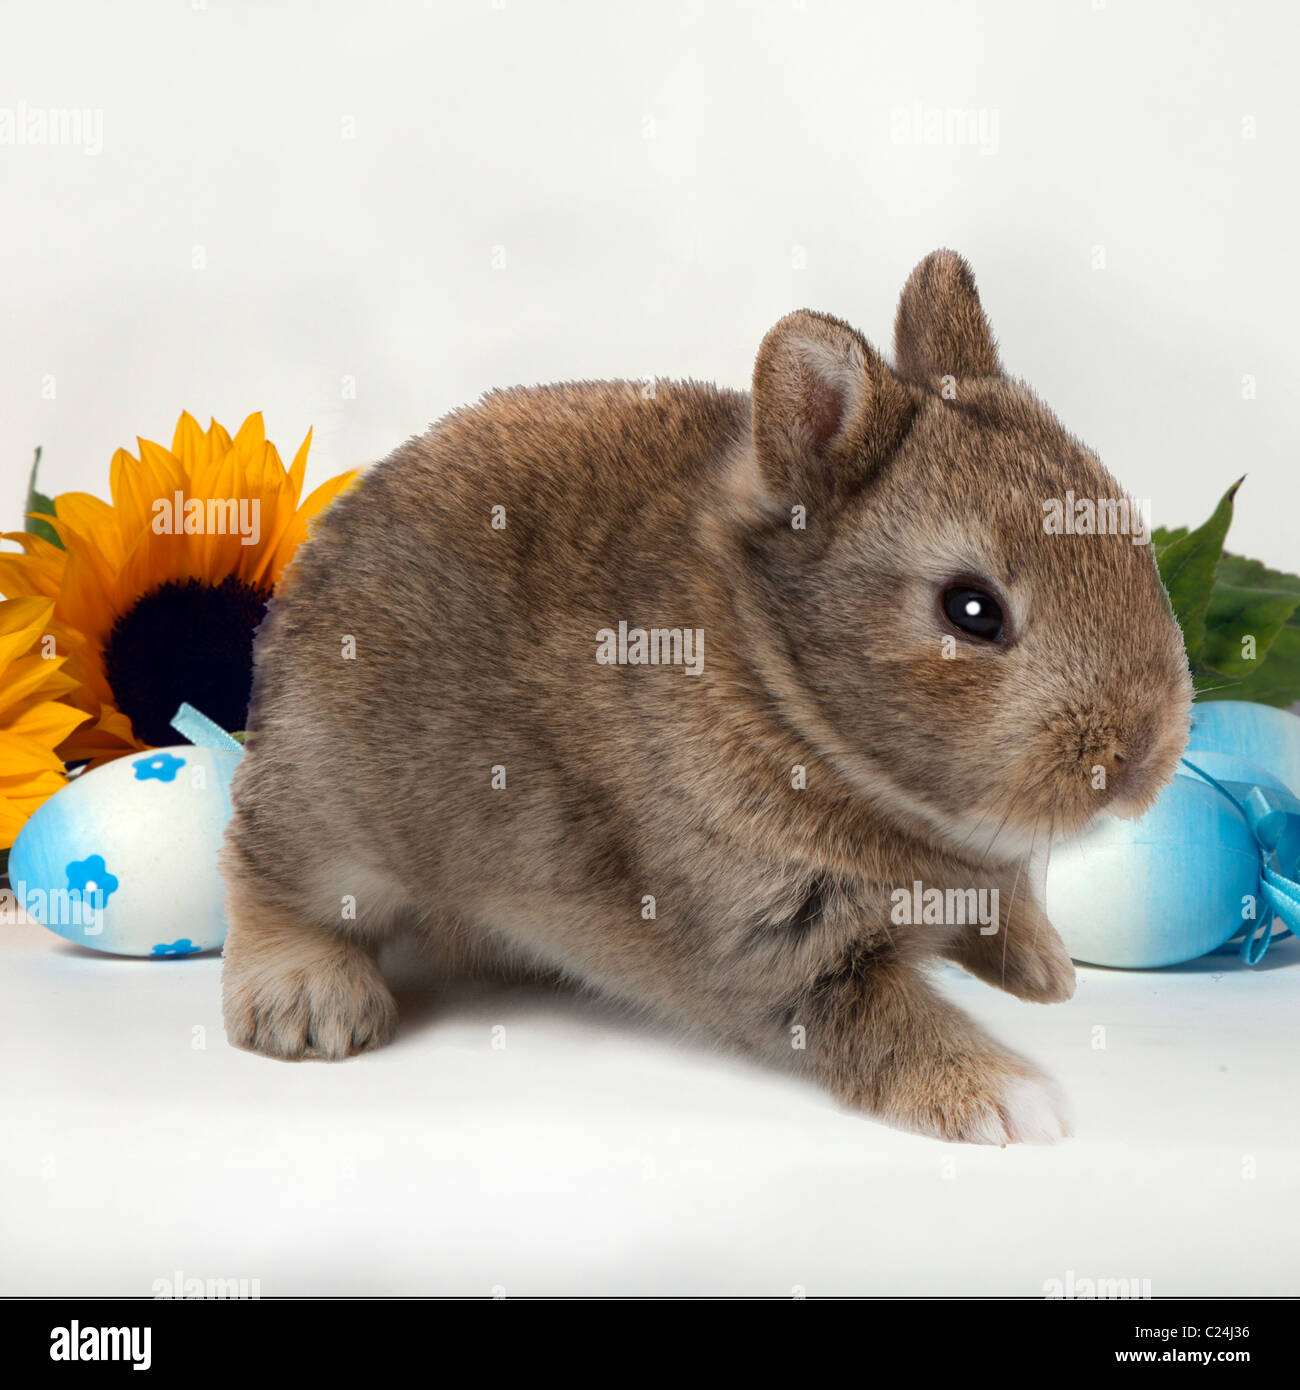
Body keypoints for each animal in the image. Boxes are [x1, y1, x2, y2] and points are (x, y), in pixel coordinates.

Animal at [220, 249, 1192, 1144]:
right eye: (972, 610)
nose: (1137, 758)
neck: (781, 693)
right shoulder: (775, 942)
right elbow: (887, 1021)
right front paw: (1015, 1103)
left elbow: (1004, 905)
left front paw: (1047, 974)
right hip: (328, 805)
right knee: (267, 872)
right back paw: (309, 1004)